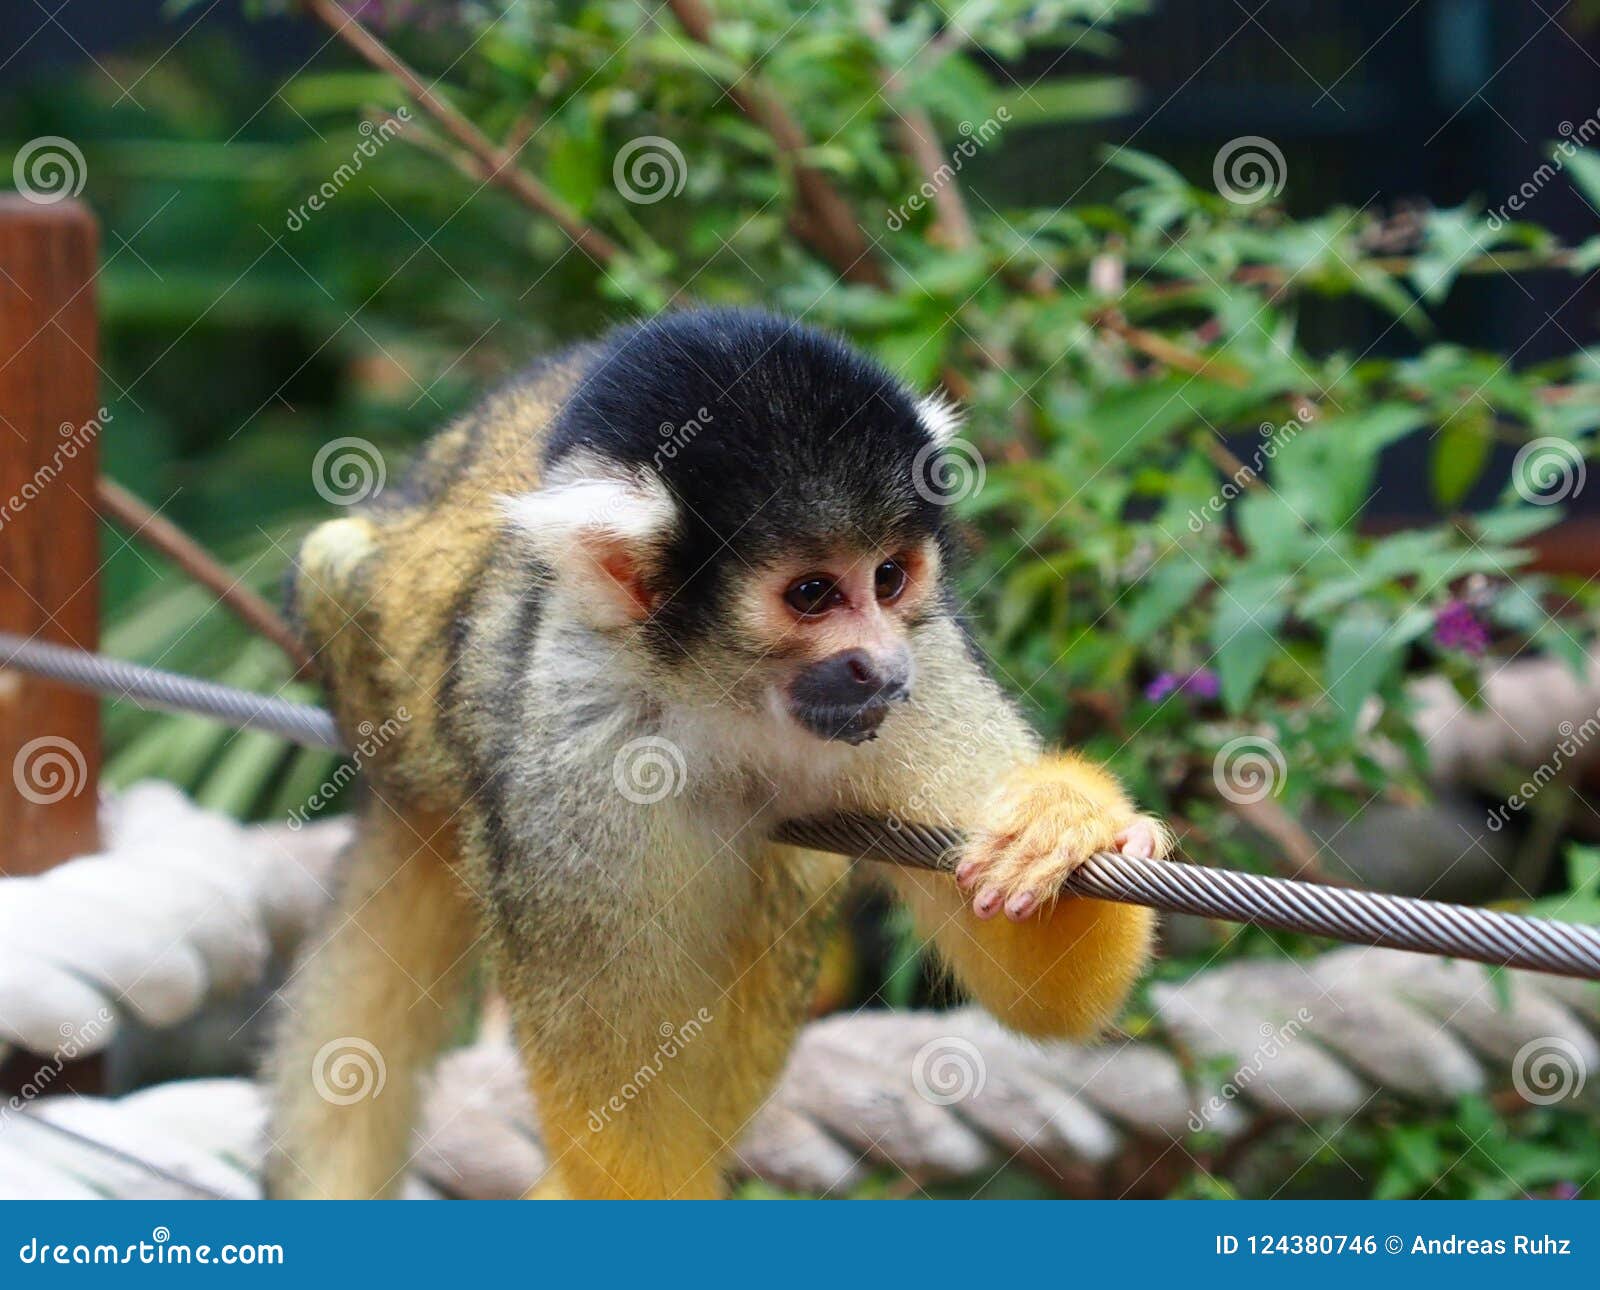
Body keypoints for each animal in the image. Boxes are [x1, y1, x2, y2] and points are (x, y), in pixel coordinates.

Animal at [265, 308, 1168, 1200]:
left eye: (889, 577)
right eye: (812, 594)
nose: (882, 666)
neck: (729, 698)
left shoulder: (931, 669)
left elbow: (1044, 999)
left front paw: (1066, 821)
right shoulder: (580, 739)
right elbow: (615, 1091)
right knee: (338, 563)